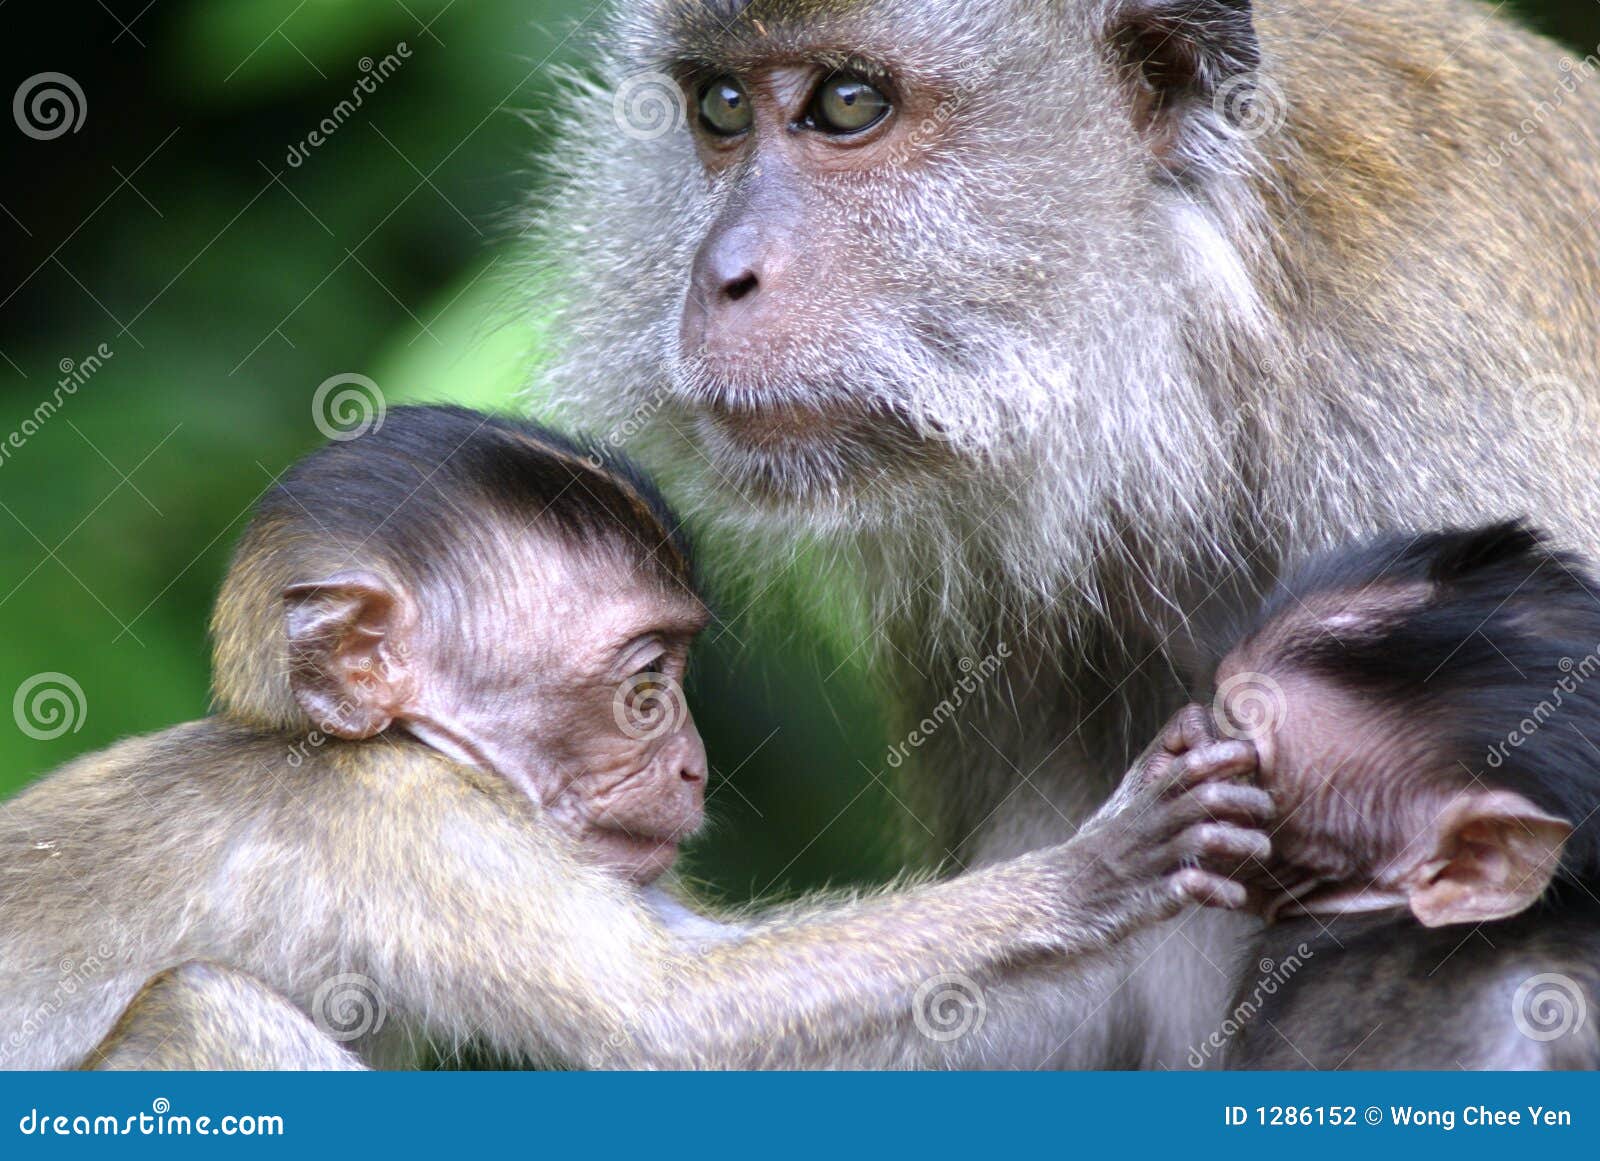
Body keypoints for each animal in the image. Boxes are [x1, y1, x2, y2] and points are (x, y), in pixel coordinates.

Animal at [0, 404, 1274, 1070]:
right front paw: (1095, 868)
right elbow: (671, 1019)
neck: (355, 744)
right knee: (198, 1007)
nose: (692, 763)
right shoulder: (412, 829)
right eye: (646, 685)